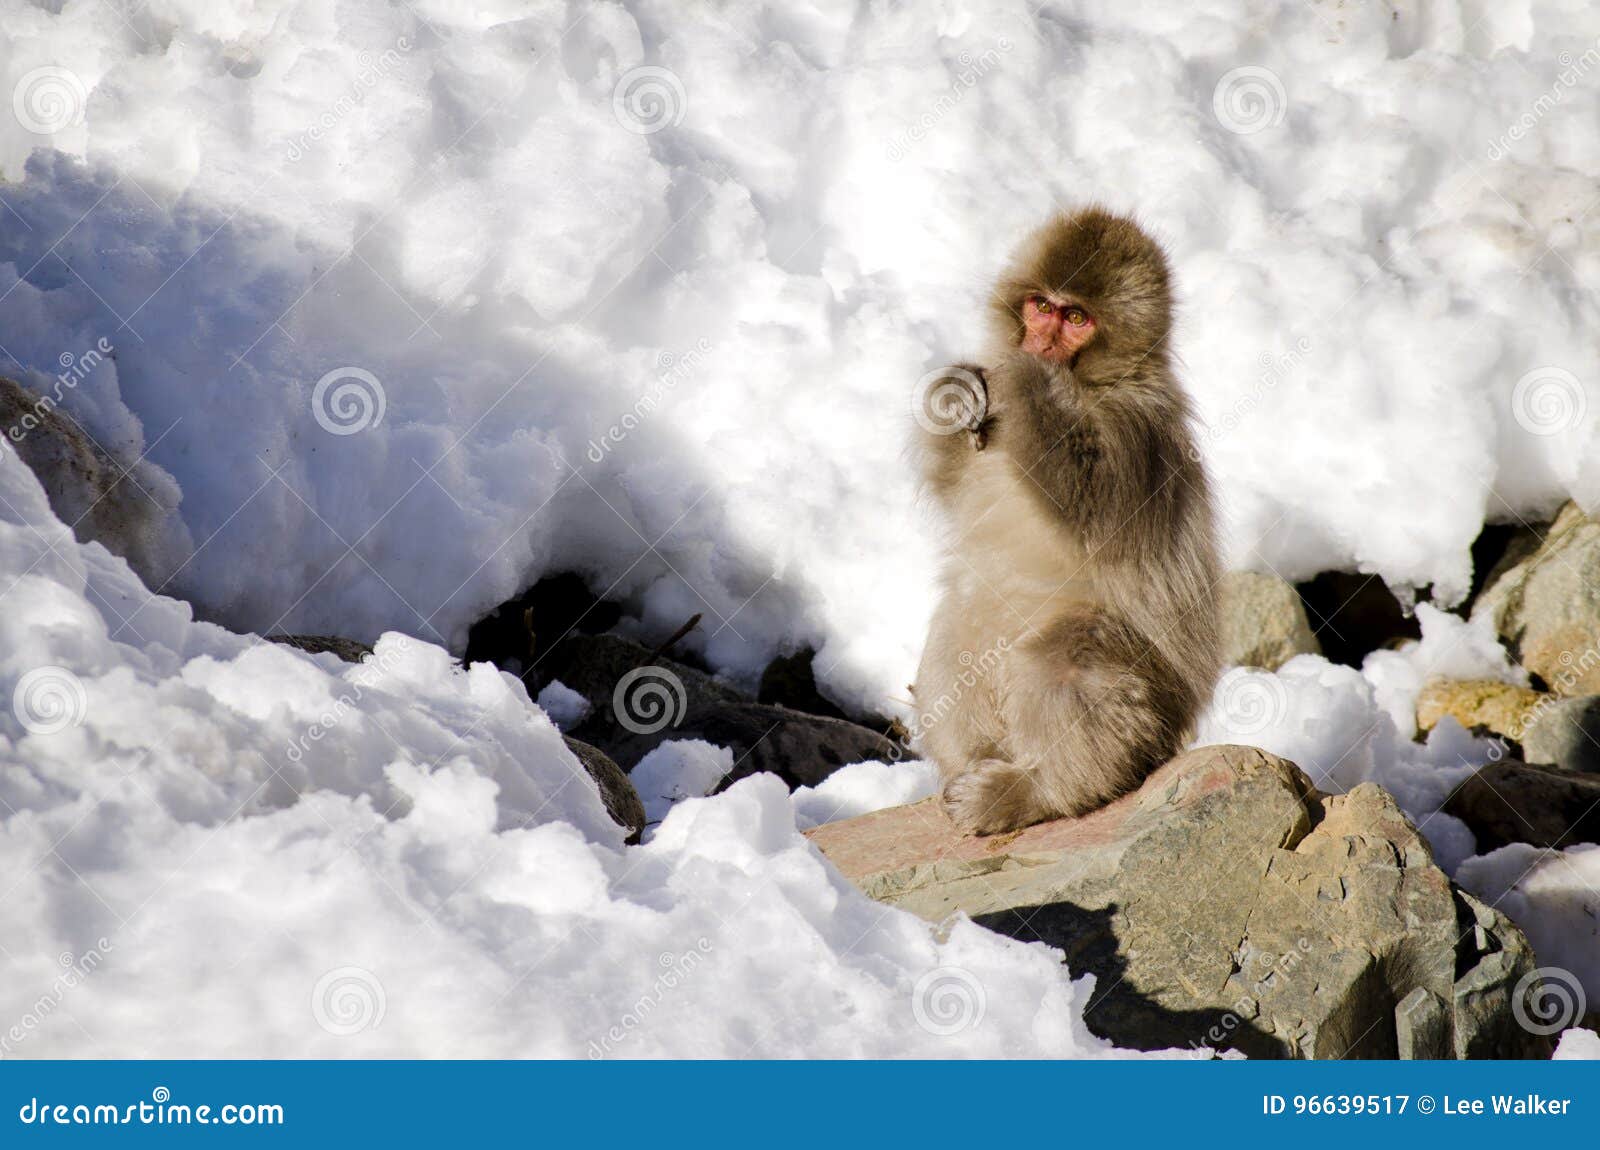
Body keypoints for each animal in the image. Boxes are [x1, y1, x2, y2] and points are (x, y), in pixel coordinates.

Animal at [910, 207, 1221, 835]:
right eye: (1041, 306)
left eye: (1076, 318)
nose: (1039, 340)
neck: (1090, 384)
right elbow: (954, 483)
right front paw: (956, 390)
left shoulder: (1137, 429)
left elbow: (1093, 501)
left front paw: (1030, 378)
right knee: (956, 628)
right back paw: (974, 769)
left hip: (1155, 704)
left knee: (1065, 657)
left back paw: (1033, 794)